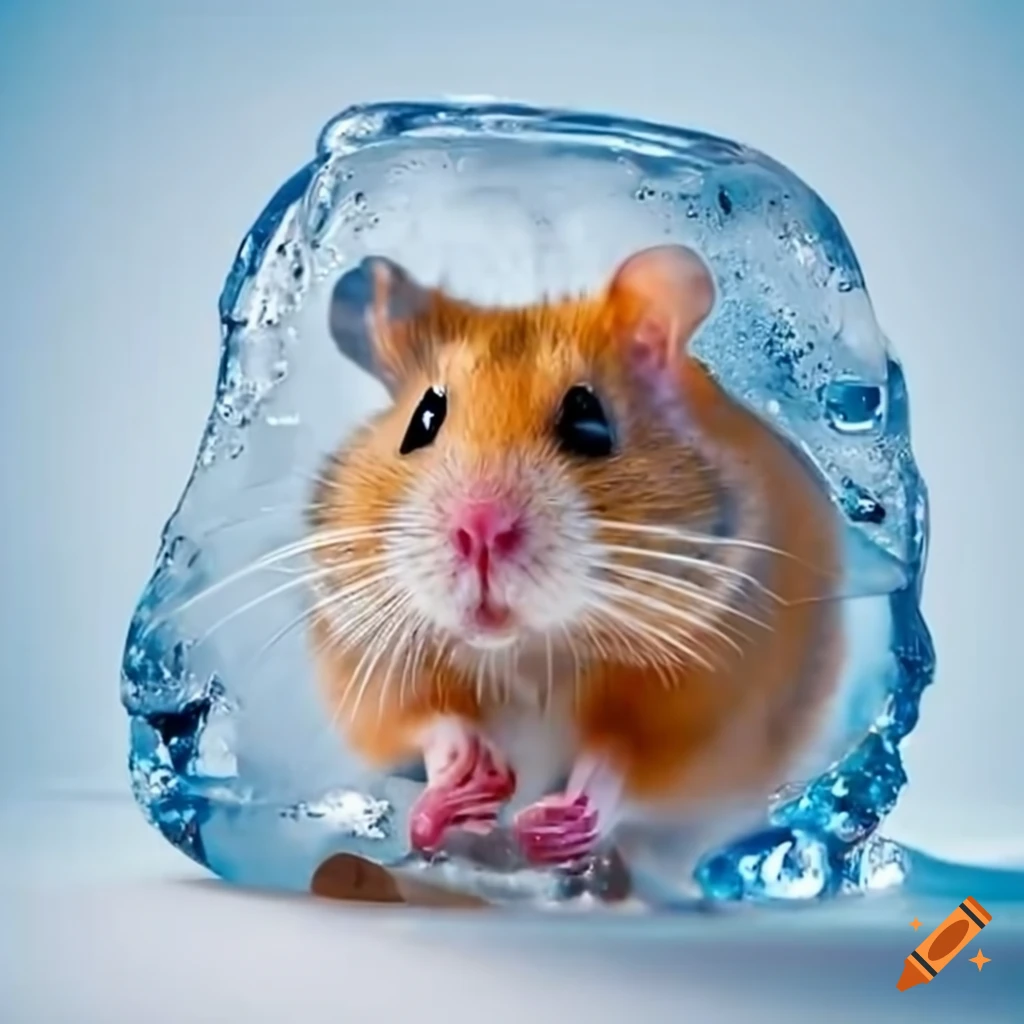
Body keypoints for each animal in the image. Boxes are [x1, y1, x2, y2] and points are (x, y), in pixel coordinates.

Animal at [307, 244, 844, 875]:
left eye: (588, 420)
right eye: (423, 419)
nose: (479, 527)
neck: (531, 650)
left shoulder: (705, 718)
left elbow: (617, 762)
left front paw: (550, 828)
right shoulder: (374, 680)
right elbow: (434, 728)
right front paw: (470, 788)